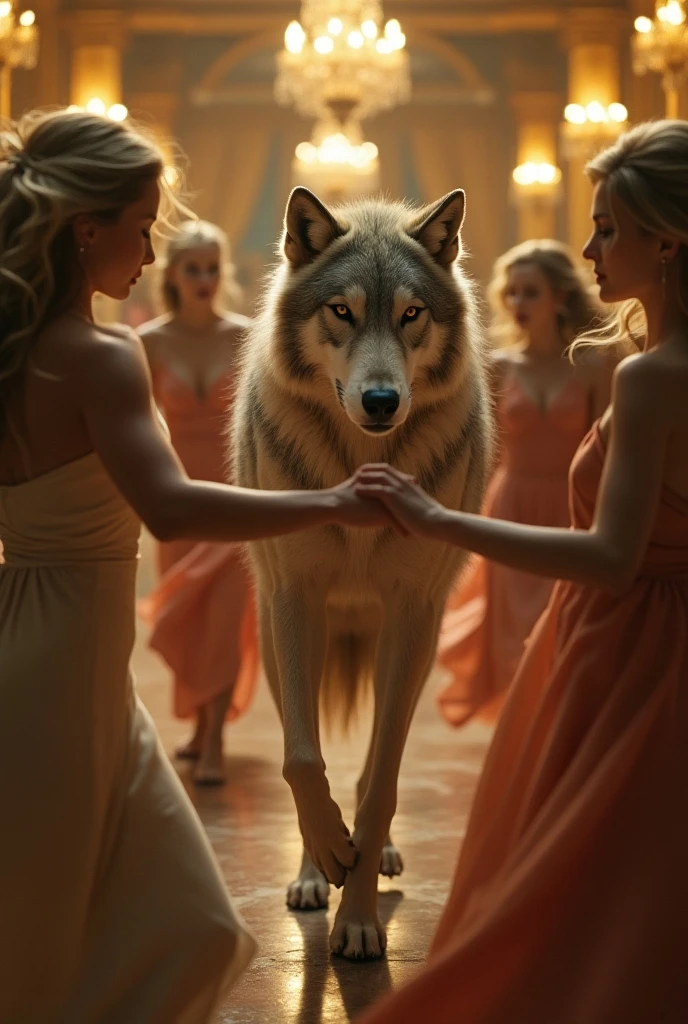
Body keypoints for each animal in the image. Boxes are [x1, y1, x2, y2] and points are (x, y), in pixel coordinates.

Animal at [229, 186, 493, 959]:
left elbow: (381, 781)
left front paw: (360, 920)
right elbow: (302, 760)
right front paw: (327, 858)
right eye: (341, 311)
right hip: (290, 641)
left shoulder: (413, 611)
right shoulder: (296, 599)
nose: (381, 402)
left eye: (410, 314)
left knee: (382, 757)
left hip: (403, 646)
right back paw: (317, 867)